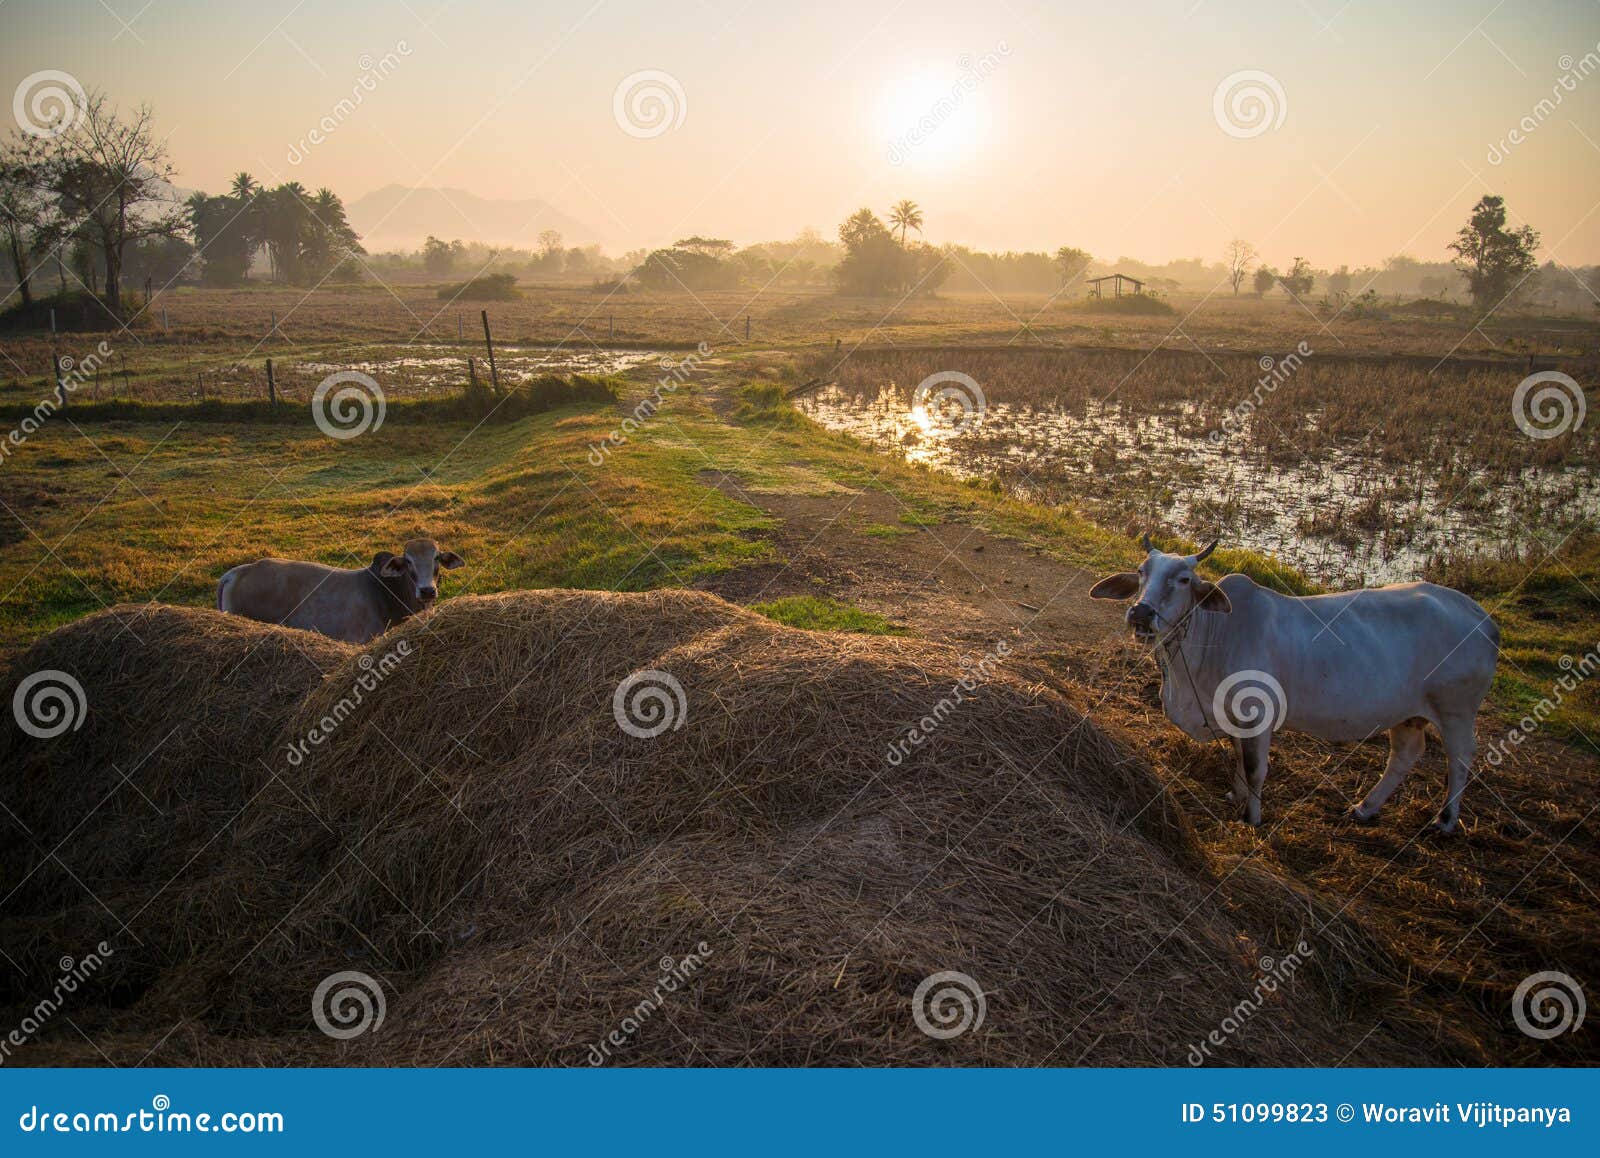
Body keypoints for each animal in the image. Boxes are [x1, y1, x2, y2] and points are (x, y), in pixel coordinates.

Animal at [1090, 536, 1499, 834]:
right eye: (1142, 572)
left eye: (1184, 579)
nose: (1141, 612)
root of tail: (1482, 616)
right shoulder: (1233, 719)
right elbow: (1239, 760)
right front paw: (1235, 795)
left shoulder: (1258, 716)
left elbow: (1255, 767)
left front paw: (1252, 818)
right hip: (1408, 713)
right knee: (1406, 753)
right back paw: (1364, 808)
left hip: (1456, 709)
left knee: (1461, 757)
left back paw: (1445, 820)